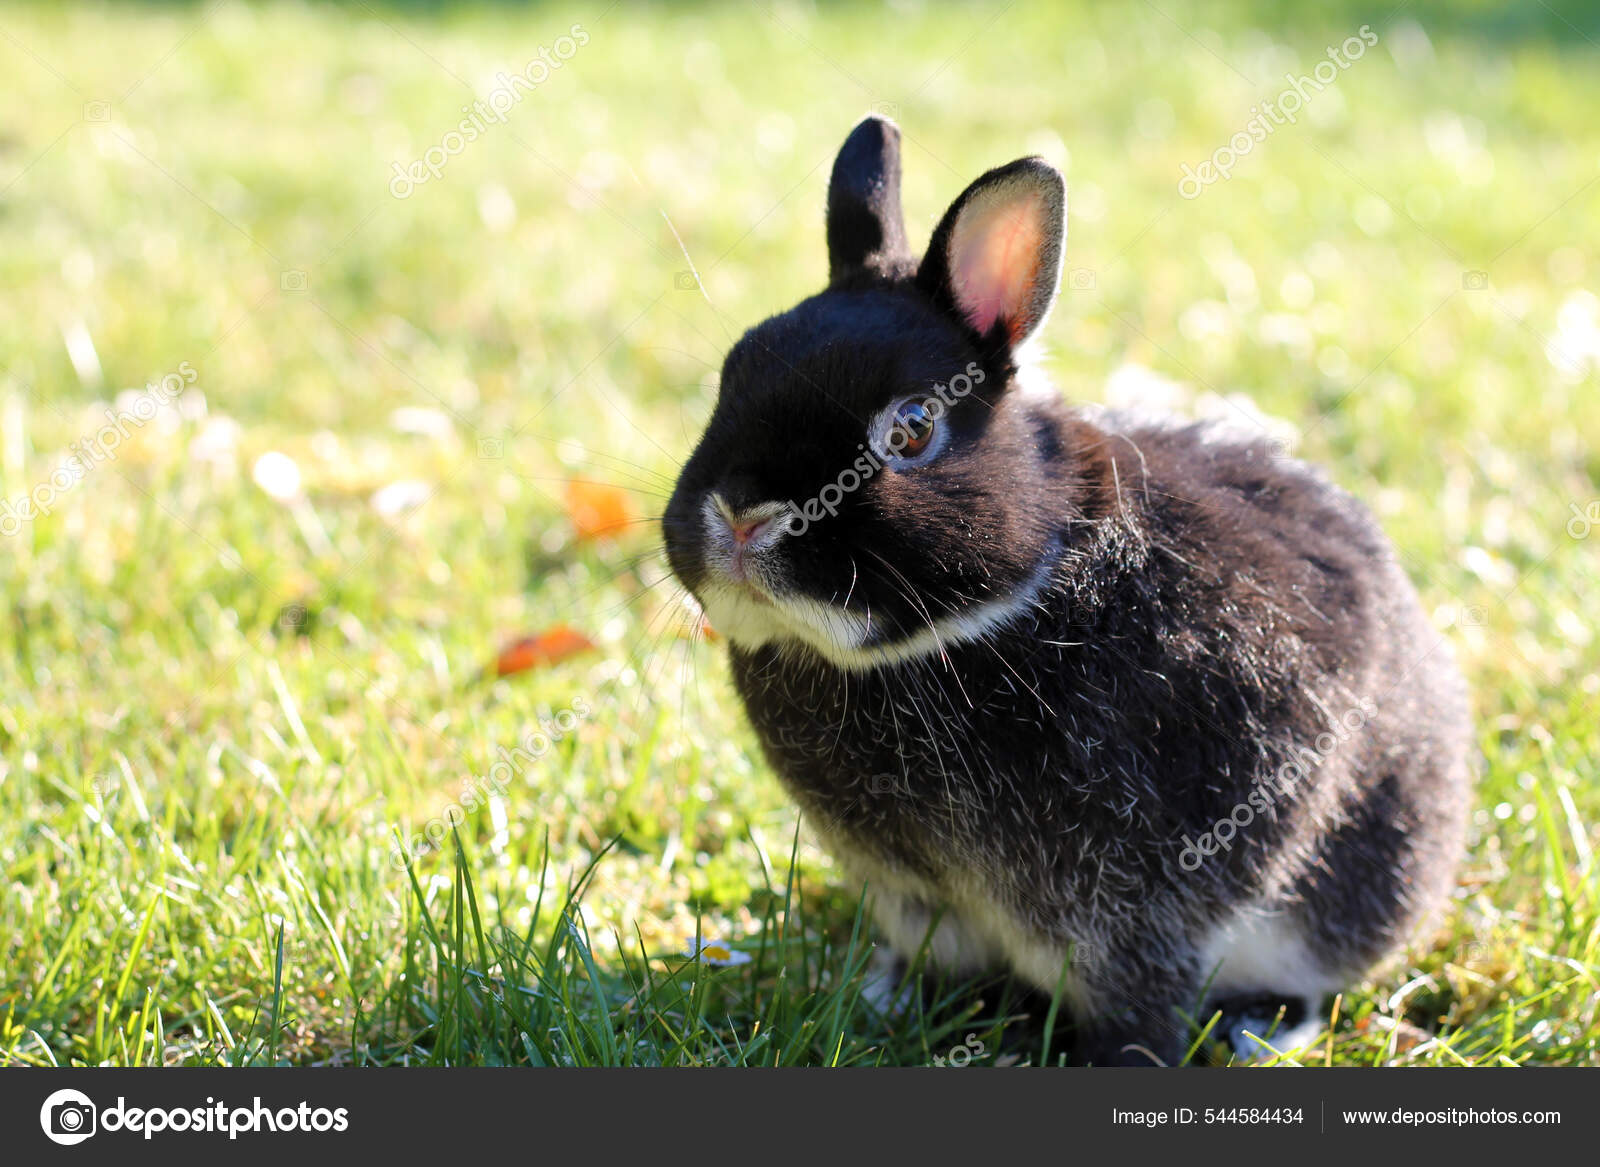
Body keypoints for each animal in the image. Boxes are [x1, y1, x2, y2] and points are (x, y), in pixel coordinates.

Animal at [661, 115, 1474, 1065]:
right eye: (731, 373)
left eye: (912, 429)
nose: (742, 514)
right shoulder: (914, 894)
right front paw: (892, 1001)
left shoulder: (1144, 896)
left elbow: (1136, 994)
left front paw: (1118, 1058)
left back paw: (1260, 1026)